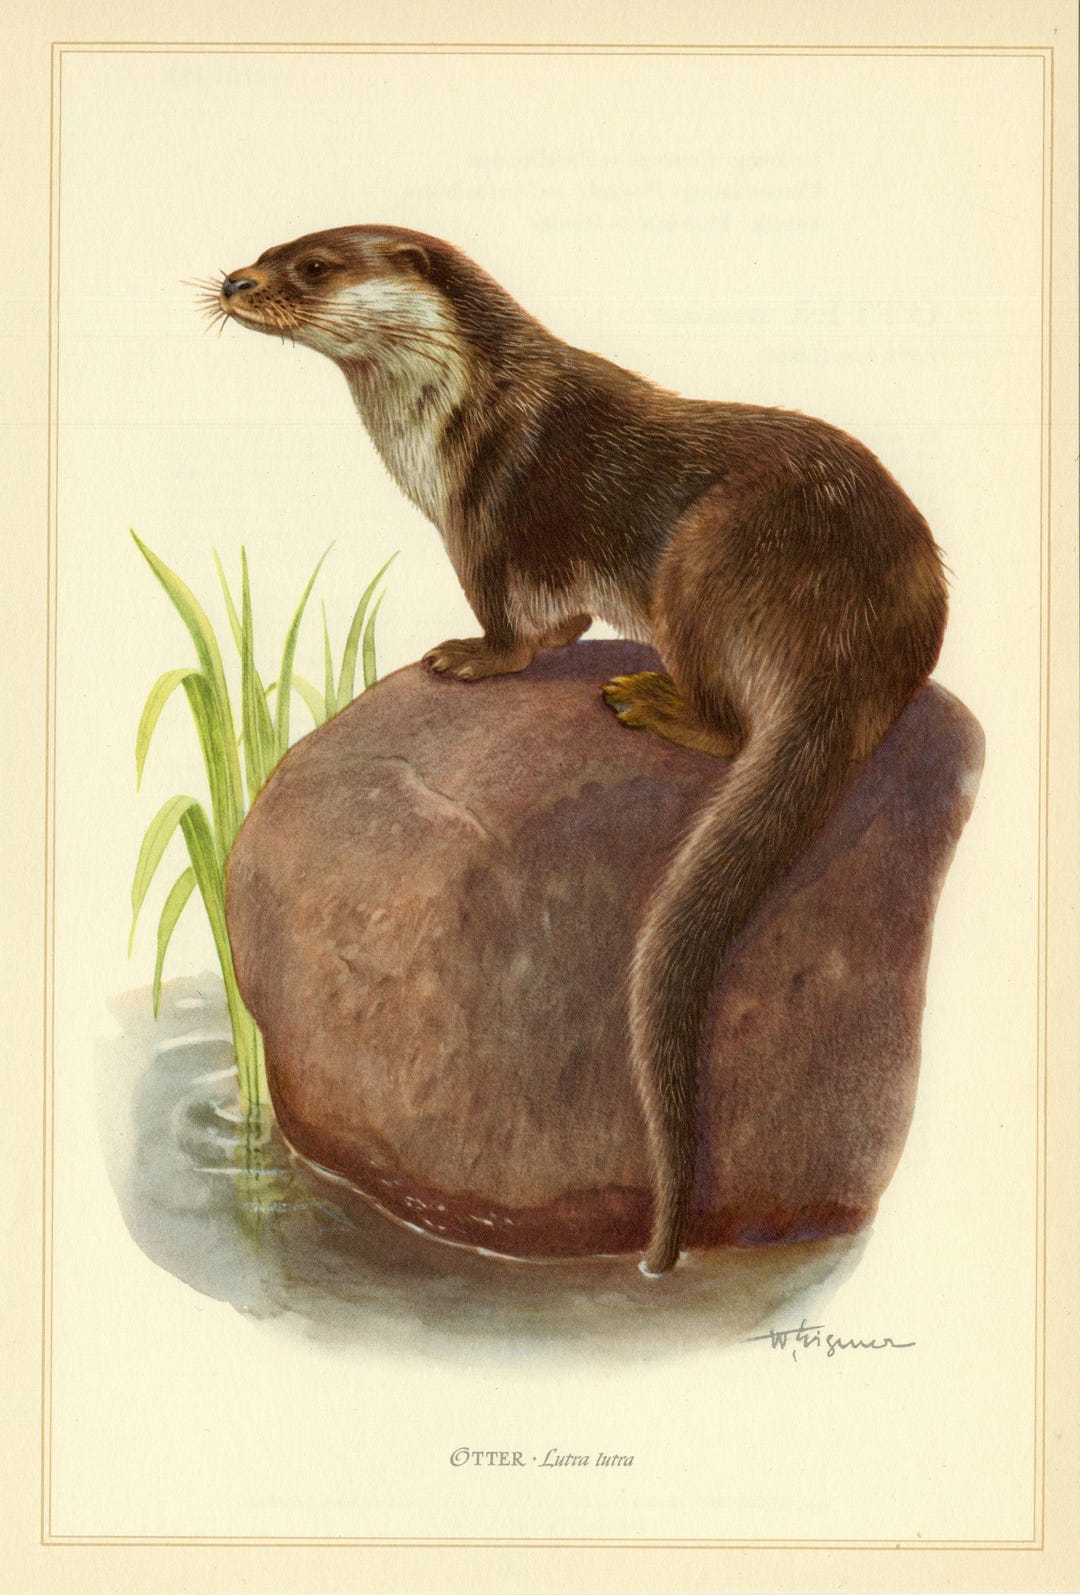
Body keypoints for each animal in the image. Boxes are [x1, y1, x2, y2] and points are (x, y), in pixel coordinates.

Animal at [207, 225, 947, 1277]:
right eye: (269, 249)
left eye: (311, 265)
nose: (236, 282)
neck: (448, 410)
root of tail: (863, 626)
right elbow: (561, 623)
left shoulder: (485, 508)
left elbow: (513, 627)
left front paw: (470, 657)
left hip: (701, 558)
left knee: (732, 719)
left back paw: (642, 695)